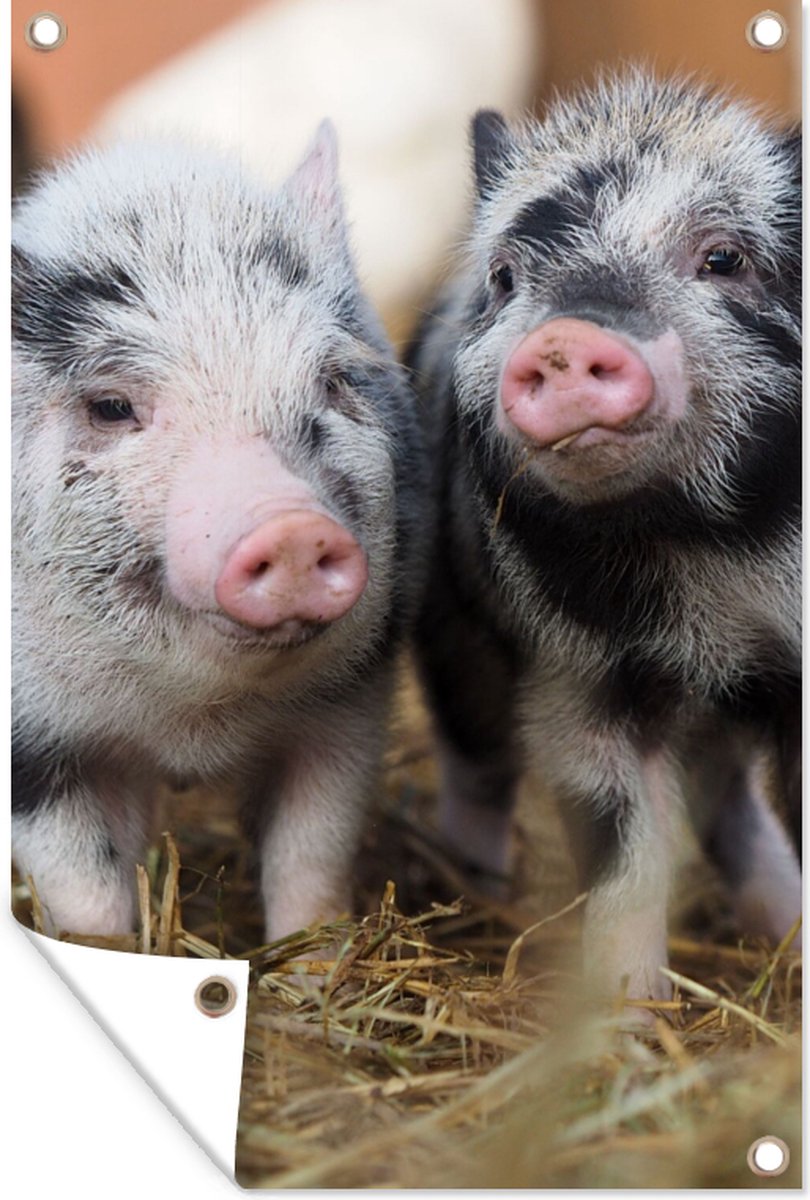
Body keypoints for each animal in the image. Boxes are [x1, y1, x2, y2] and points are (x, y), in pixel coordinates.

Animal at [12, 125, 426, 942]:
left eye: (332, 381)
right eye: (111, 406)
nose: (291, 527)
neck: (193, 720)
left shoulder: (352, 699)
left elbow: (311, 852)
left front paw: (310, 956)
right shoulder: (32, 743)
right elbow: (83, 887)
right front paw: (106, 949)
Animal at [409, 70, 801, 1003]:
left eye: (724, 259)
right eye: (506, 275)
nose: (565, 337)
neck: (704, 556)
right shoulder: (576, 679)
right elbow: (623, 848)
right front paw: (627, 1010)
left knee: (728, 802)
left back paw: (788, 931)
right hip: (453, 637)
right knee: (476, 765)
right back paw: (480, 889)